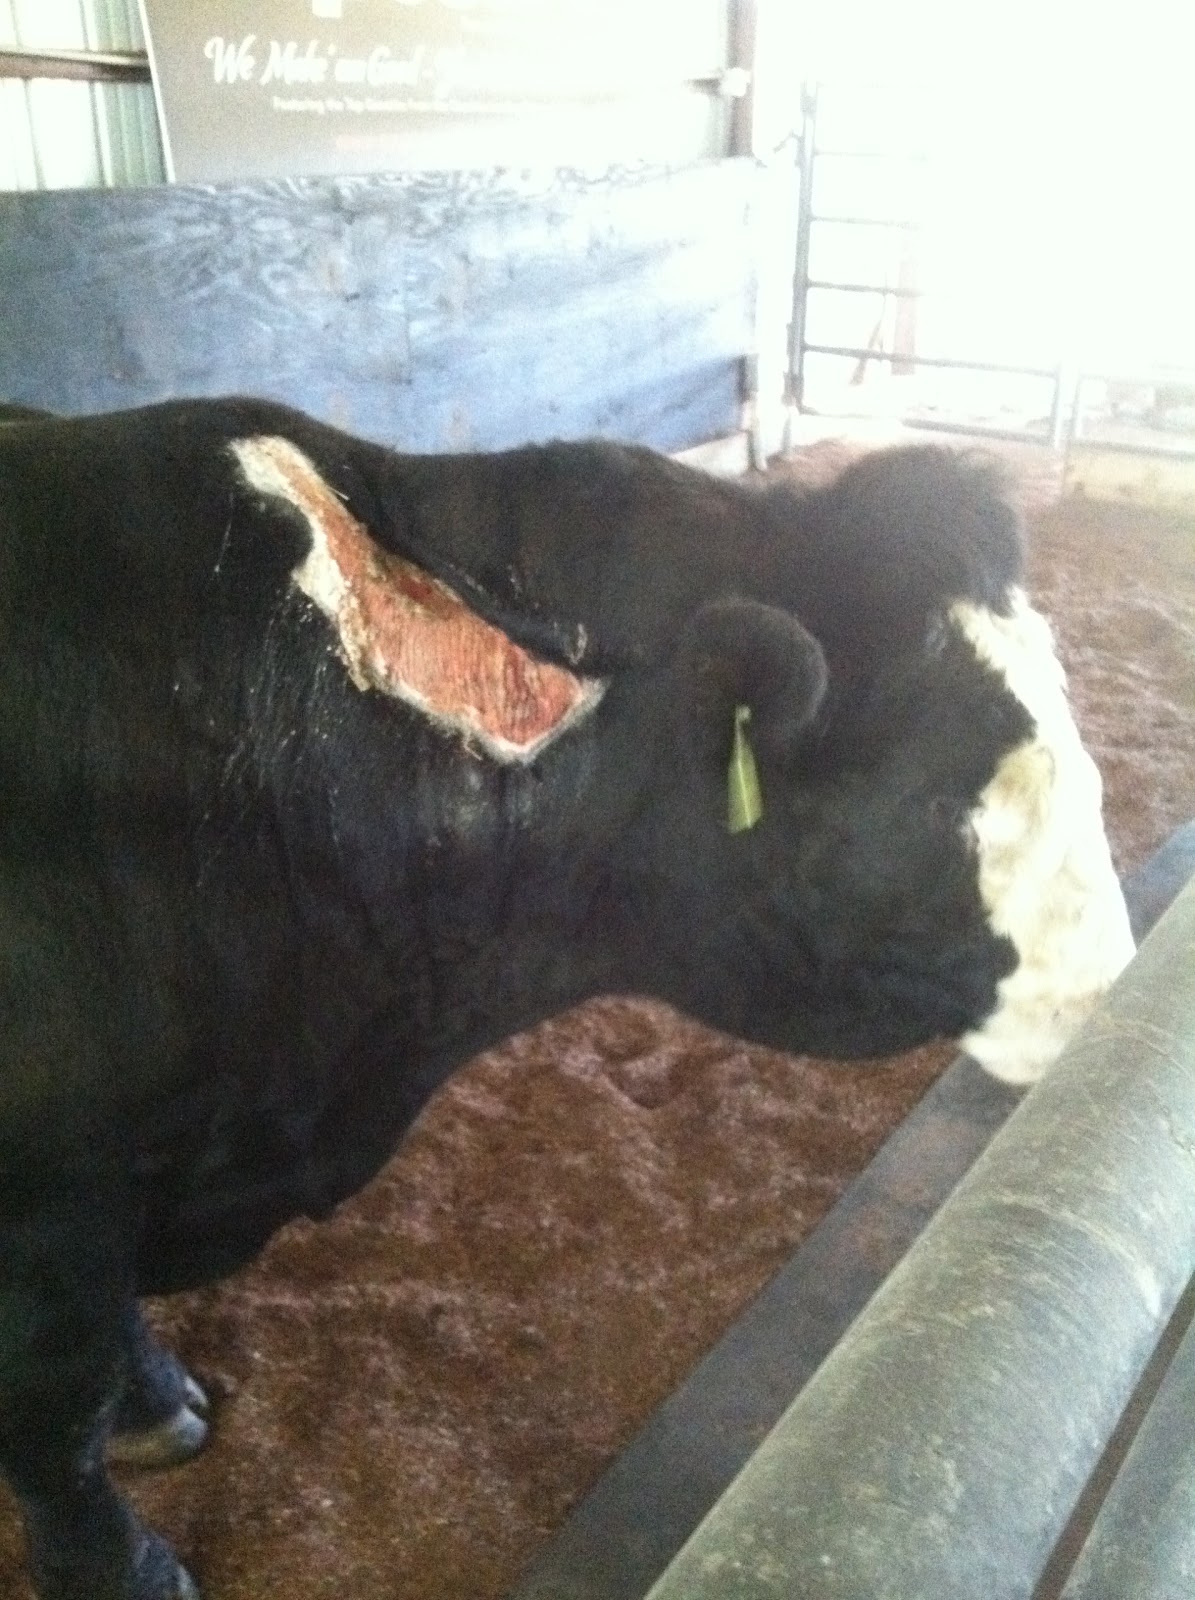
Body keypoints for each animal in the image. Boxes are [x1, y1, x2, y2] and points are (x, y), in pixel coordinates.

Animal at [0, 398, 1134, 1600]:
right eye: (934, 801)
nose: (1115, 988)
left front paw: (154, 1404)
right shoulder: (50, 1210)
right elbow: (54, 1418)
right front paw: (119, 1567)